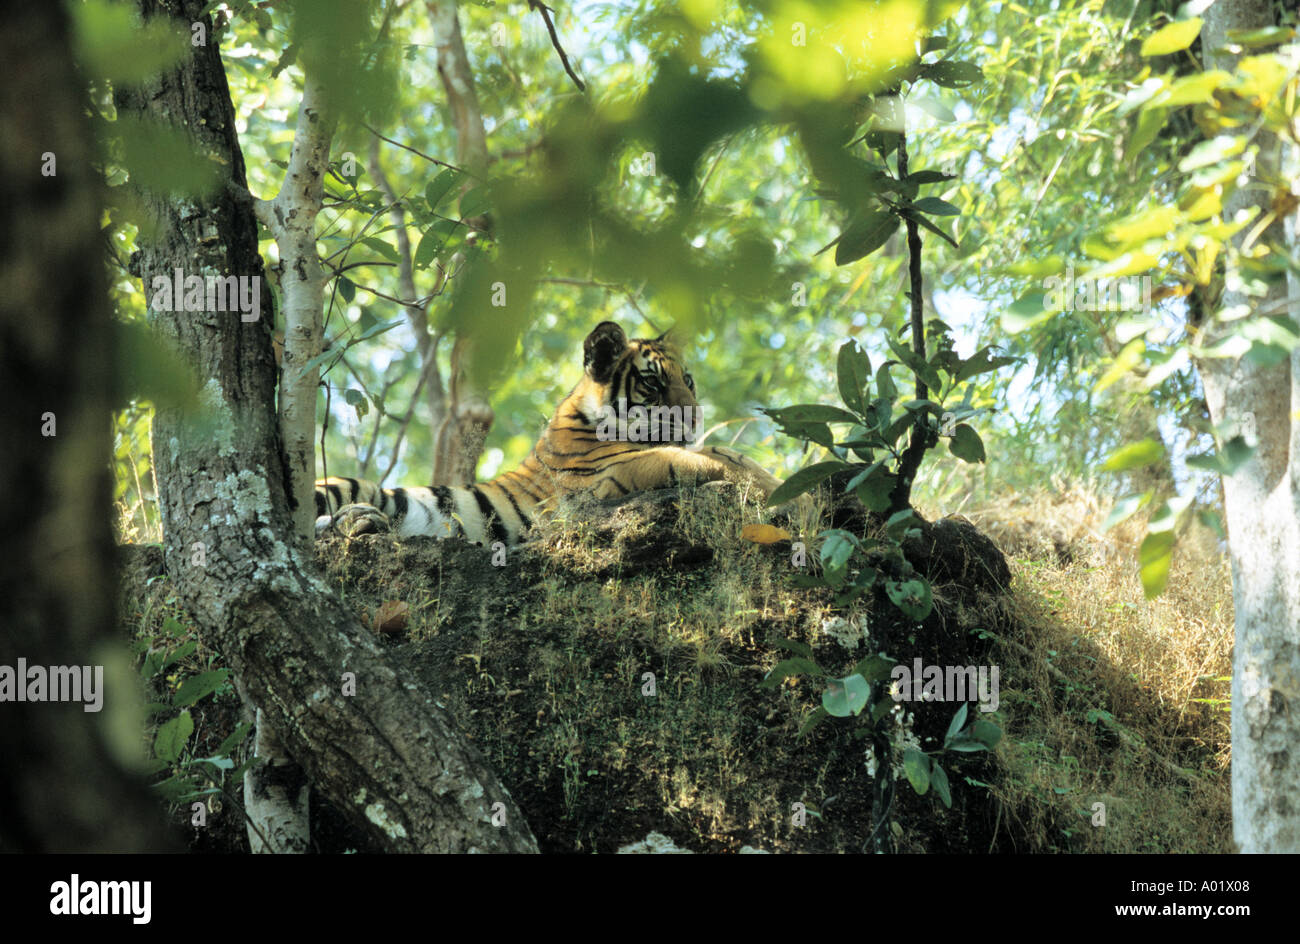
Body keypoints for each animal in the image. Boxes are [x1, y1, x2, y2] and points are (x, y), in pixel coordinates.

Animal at [314, 321, 789, 545]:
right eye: (653, 383)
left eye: (687, 381)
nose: (694, 420)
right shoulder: (611, 473)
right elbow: (709, 460)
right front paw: (785, 499)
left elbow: (734, 456)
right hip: (342, 484)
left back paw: (363, 521)